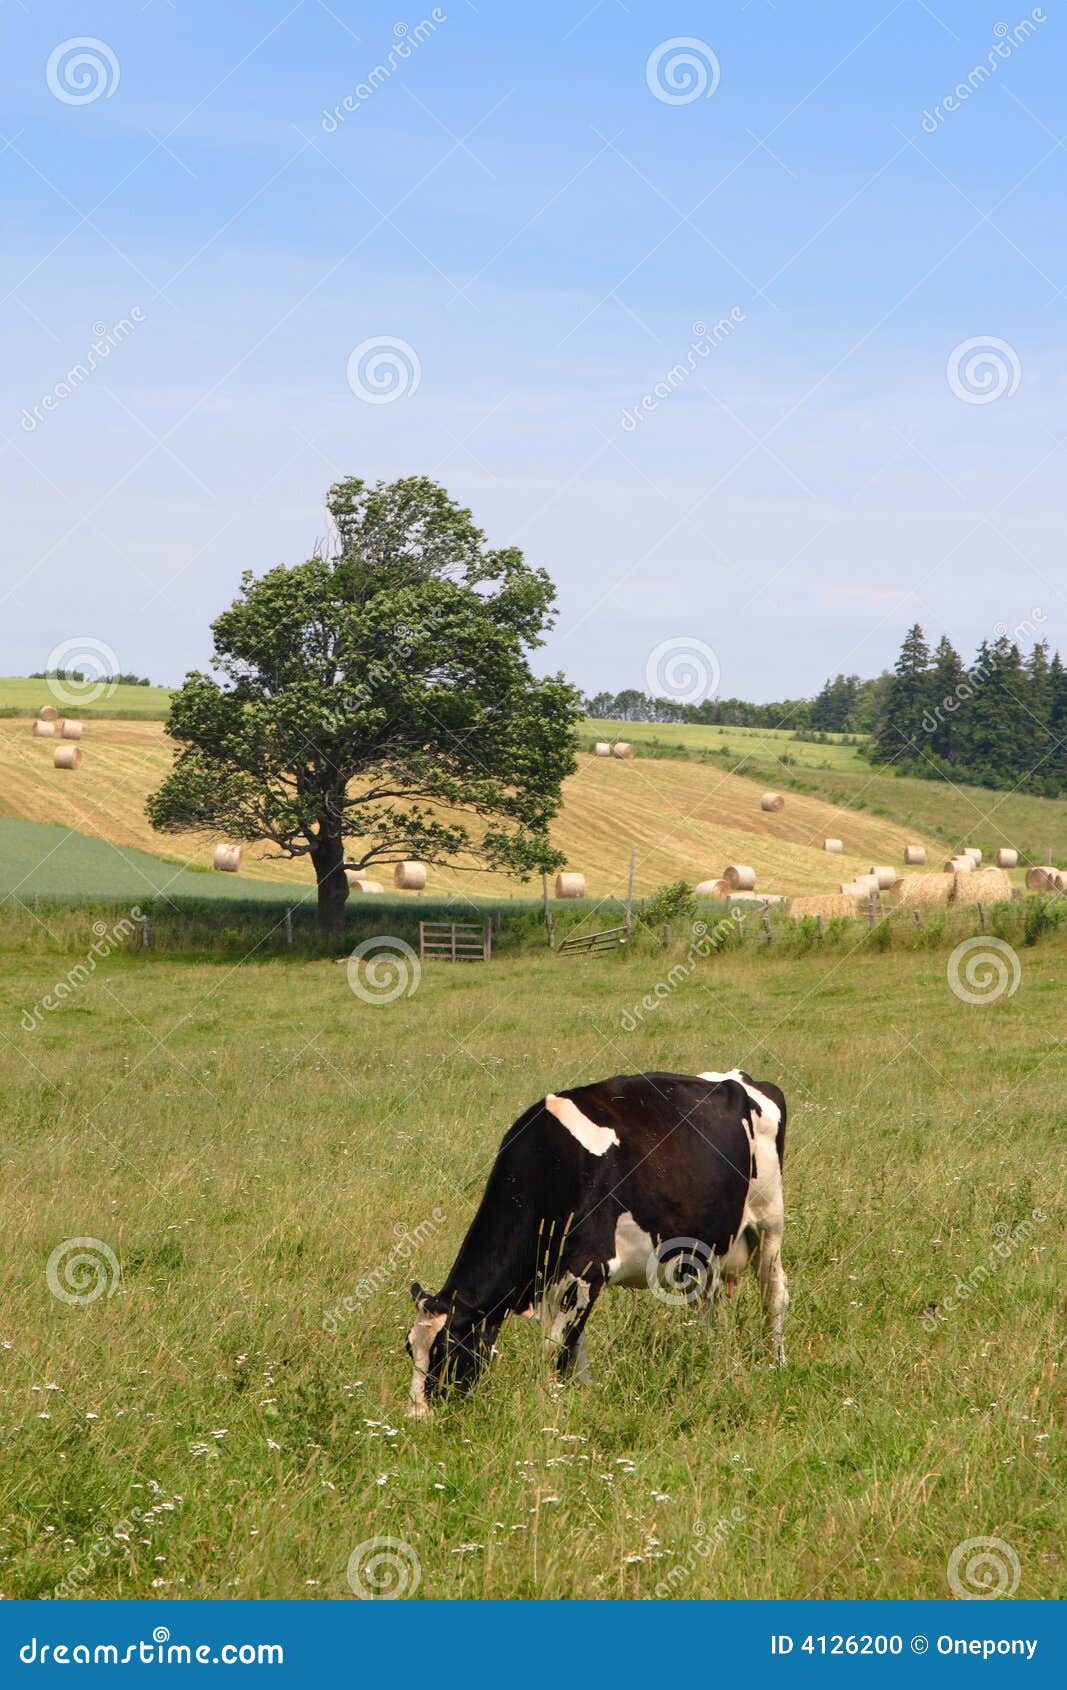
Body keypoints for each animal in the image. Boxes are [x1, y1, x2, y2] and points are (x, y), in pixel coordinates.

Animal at [406, 1068, 788, 1417]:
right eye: (411, 1349)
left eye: (444, 1351)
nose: (416, 1417)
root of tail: (740, 1078)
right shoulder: (556, 1278)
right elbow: (573, 1343)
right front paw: (583, 1393)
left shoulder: (587, 1268)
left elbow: (556, 1347)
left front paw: (550, 1401)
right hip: (704, 1249)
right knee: (705, 1306)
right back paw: (704, 1354)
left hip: (769, 1222)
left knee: (775, 1294)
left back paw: (776, 1361)